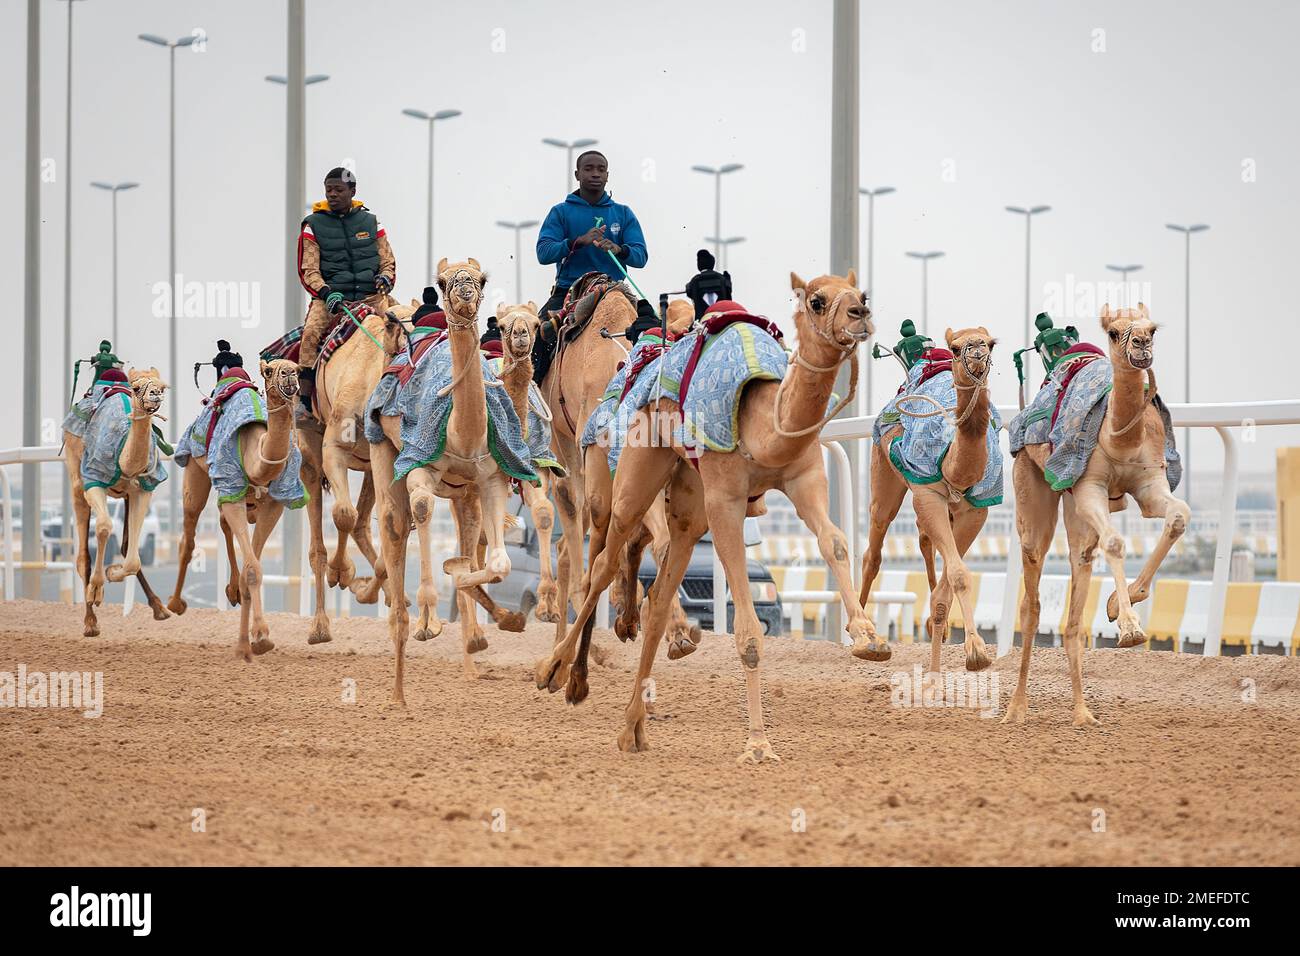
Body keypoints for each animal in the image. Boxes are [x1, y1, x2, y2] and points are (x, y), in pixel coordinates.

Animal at [61, 368, 170, 638]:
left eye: (162, 386)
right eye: (136, 387)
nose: (154, 394)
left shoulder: (143, 490)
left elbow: (133, 559)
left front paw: (112, 572)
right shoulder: (94, 481)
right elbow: (102, 528)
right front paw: (96, 589)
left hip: (126, 496)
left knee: (125, 545)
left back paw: (159, 607)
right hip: (76, 480)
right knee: (83, 555)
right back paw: (90, 622)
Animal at [166, 359, 304, 661]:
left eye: (298, 368)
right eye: (269, 370)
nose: (288, 375)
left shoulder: (274, 503)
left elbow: (251, 568)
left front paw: (248, 644)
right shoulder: (230, 485)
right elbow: (251, 569)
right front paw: (261, 635)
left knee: (222, 524)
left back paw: (230, 592)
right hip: (195, 471)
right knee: (189, 536)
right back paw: (173, 603)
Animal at [371, 258, 528, 697]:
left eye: (481, 278)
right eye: (442, 281)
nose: (465, 293)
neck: (463, 432)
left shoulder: (490, 479)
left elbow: (500, 562)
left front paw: (455, 573)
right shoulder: (419, 466)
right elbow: (423, 507)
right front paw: (428, 620)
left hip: (464, 493)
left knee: (469, 532)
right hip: (382, 451)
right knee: (394, 524)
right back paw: (398, 689)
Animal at [857, 328, 1000, 682]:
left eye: (990, 342)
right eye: (956, 347)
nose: (977, 350)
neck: (955, 466)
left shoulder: (977, 509)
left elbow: (951, 578)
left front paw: (969, 649)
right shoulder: (927, 495)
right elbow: (958, 573)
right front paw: (976, 652)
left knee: (924, 540)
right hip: (884, 475)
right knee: (873, 551)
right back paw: (866, 640)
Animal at [1005, 304, 1187, 726]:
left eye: (1152, 328)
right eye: (1115, 331)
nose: (1141, 345)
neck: (1118, 434)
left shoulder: (1150, 484)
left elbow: (1177, 517)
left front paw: (1121, 603)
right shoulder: (1090, 488)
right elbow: (1116, 542)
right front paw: (1130, 629)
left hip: (1075, 516)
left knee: (1079, 577)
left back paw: (1082, 713)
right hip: (1033, 491)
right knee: (1031, 599)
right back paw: (1016, 708)